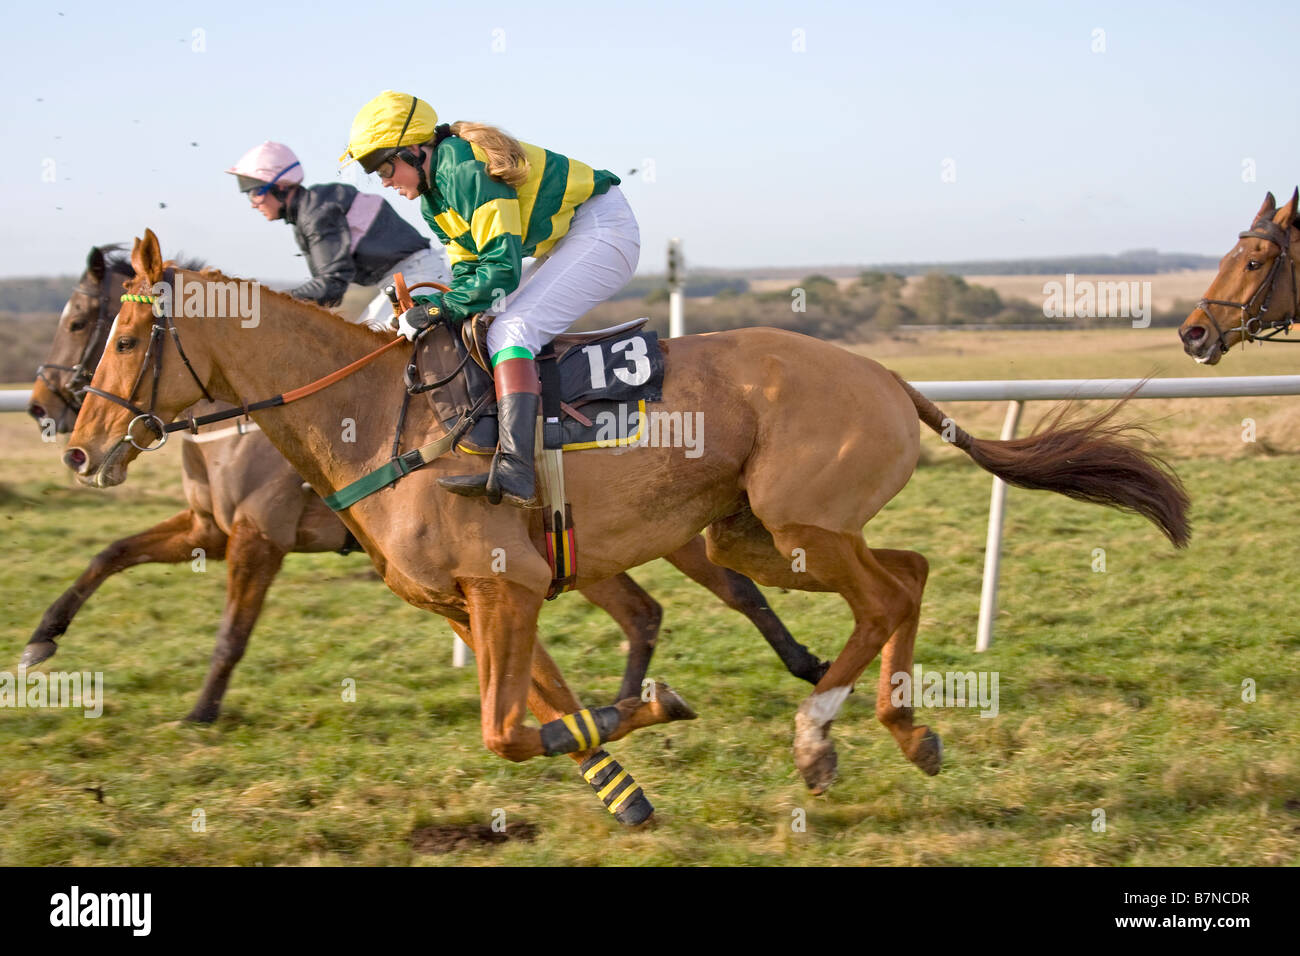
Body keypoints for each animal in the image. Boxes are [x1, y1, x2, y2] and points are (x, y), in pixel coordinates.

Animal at [26, 245, 827, 723]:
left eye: (100, 328)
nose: (70, 440)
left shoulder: (258, 537)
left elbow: (230, 634)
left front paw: (200, 710)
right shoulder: (210, 531)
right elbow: (108, 555)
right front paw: (41, 641)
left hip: (663, 529)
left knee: (730, 592)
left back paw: (801, 665)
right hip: (598, 546)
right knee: (647, 613)